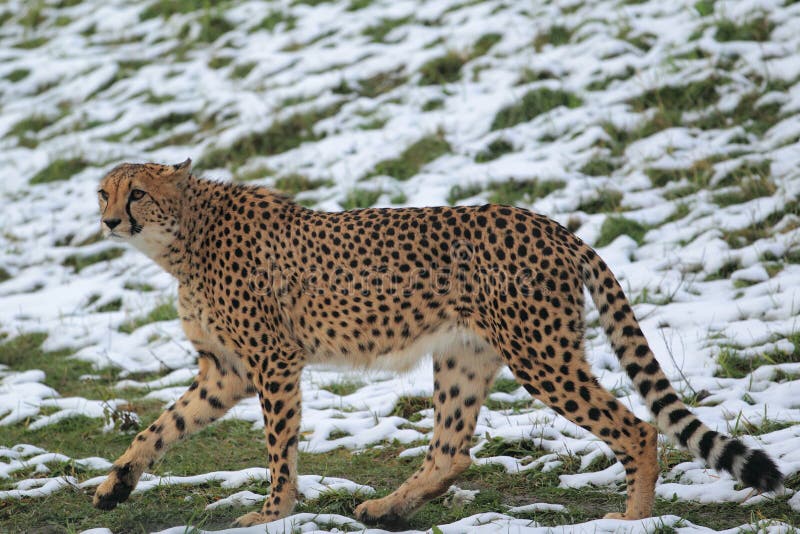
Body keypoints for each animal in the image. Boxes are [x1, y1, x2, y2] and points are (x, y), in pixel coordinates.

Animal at [93, 159, 782, 527]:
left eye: (138, 193)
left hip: (541, 355)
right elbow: (160, 427)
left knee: (636, 428)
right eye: (105, 190)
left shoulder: (273, 362)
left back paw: (635, 519)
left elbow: (279, 448)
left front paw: (272, 512)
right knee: (452, 451)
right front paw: (115, 485)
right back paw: (387, 509)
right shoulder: (226, 370)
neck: (185, 236)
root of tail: (550, 224)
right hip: (462, 355)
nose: (108, 219)